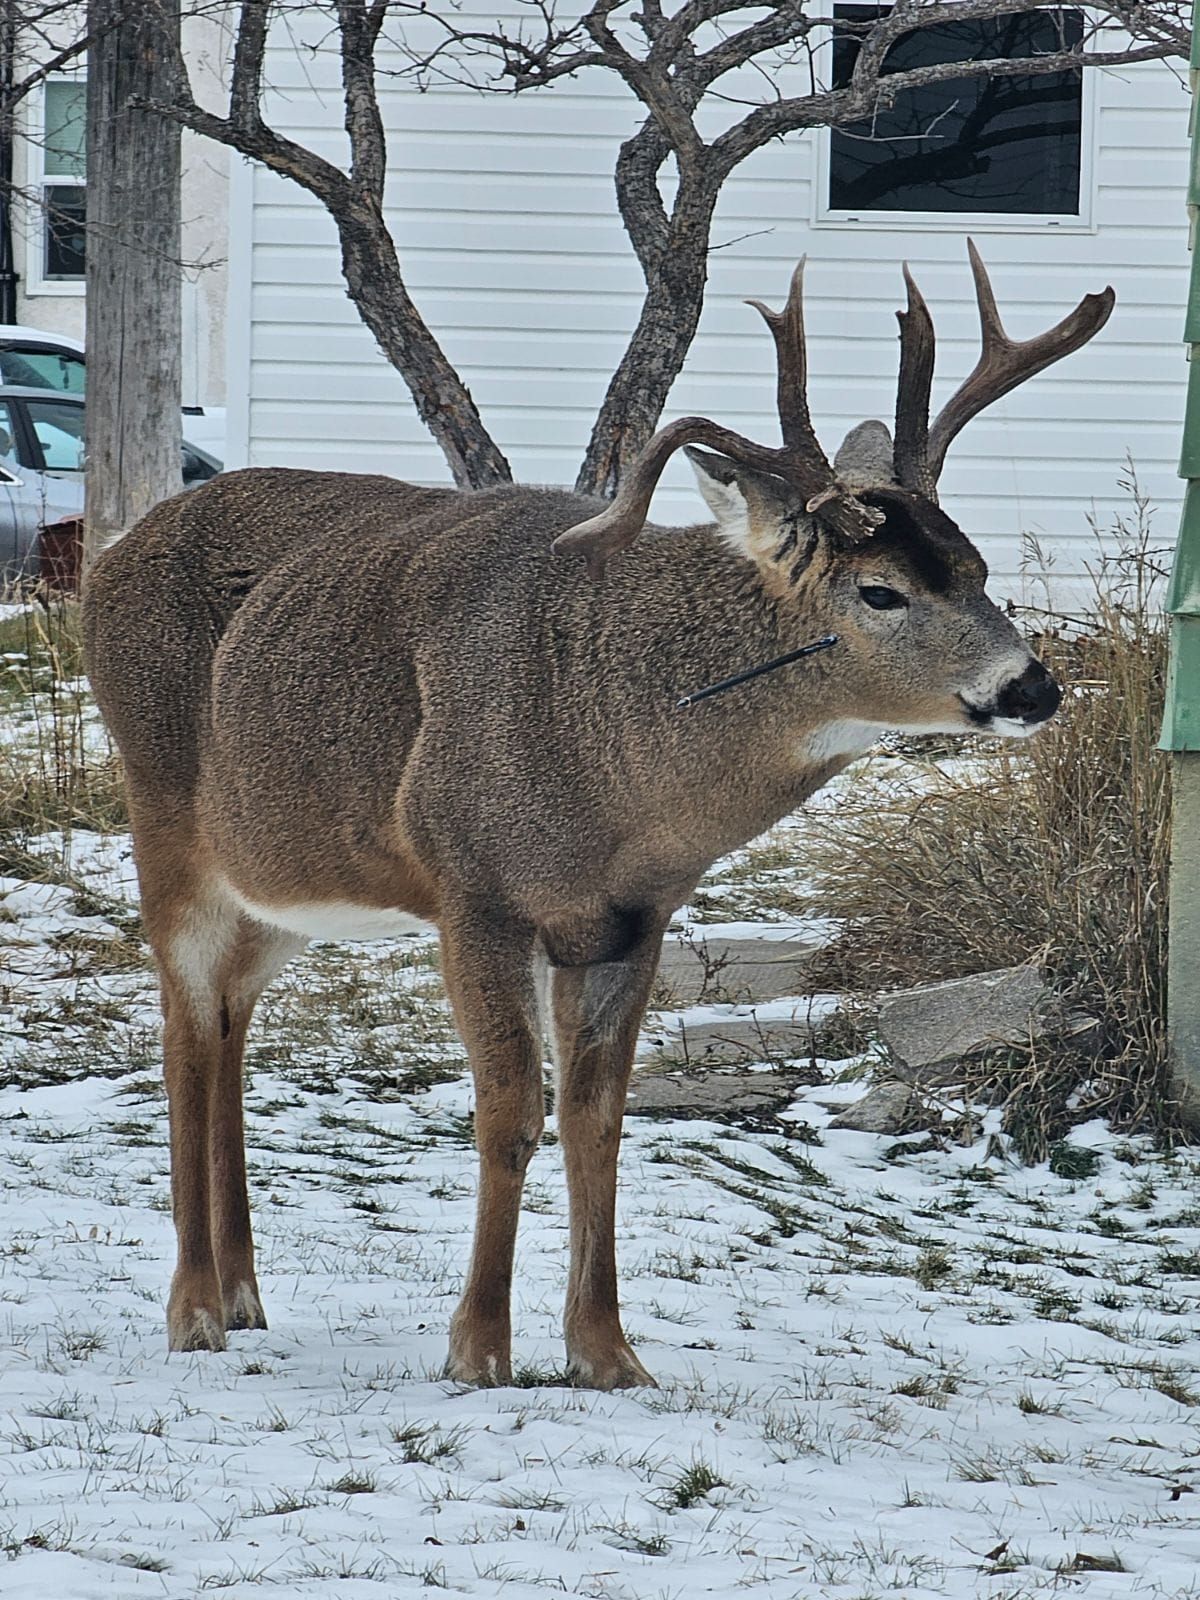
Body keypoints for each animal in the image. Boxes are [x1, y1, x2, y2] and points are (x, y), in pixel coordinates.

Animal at [83, 244, 1112, 1388]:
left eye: (978, 569)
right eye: (880, 592)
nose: (1032, 686)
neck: (618, 773)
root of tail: (108, 554)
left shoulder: (630, 916)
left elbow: (598, 1120)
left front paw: (607, 1353)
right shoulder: (474, 888)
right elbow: (507, 1116)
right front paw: (480, 1350)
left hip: (286, 885)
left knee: (229, 1014)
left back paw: (245, 1293)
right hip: (161, 808)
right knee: (181, 1022)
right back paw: (193, 1309)